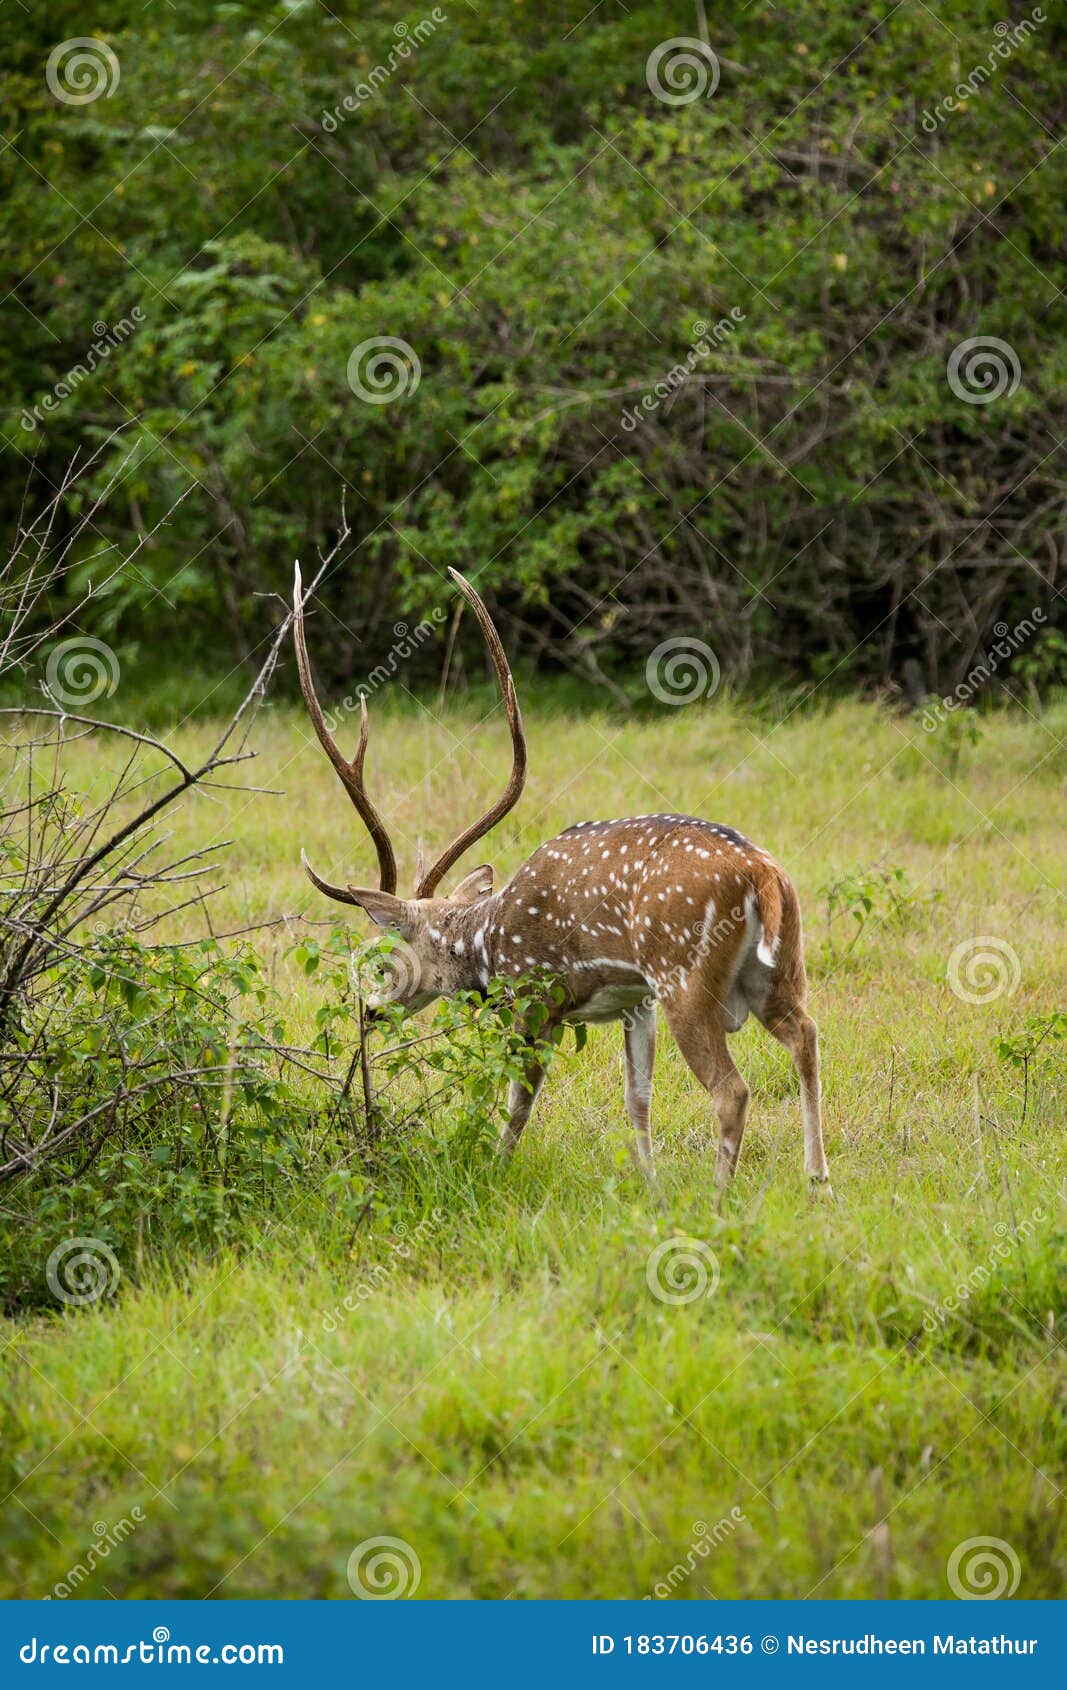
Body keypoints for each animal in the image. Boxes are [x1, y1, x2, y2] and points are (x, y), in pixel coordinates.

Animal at [292, 565, 830, 1192]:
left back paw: (719, 1196)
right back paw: (818, 1180)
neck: (489, 942)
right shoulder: (636, 1001)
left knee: (732, 1089)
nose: (369, 1012)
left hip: (685, 975)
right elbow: (638, 1099)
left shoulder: (536, 996)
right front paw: (650, 1187)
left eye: (385, 958)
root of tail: (760, 872)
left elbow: (517, 1104)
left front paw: (495, 1170)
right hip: (780, 965)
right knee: (806, 1036)